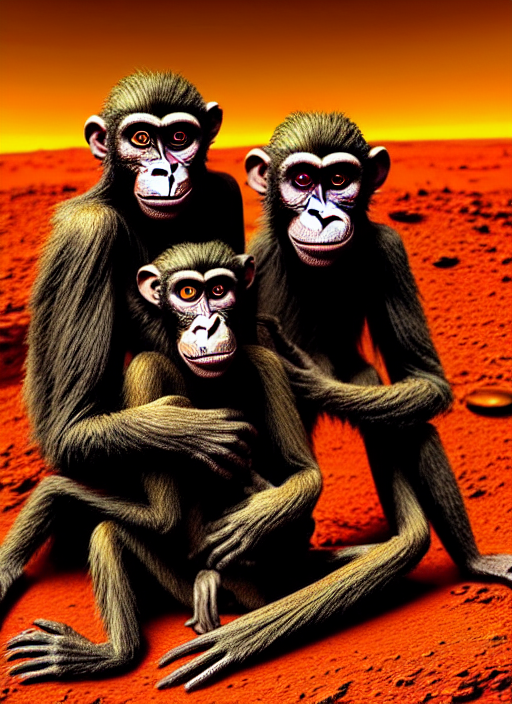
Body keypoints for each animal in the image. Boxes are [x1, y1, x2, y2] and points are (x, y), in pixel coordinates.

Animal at [2, 240, 323, 681]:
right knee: (122, 528)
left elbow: (305, 473)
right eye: (187, 293)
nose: (208, 325)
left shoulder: (266, 362)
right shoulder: (151, 370)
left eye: (220, 290)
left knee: (117, 529)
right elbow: (159, 512)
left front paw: (252, 518)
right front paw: (191, 428)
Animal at [155, 111, 512, 691]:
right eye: (301, 179)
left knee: (405, 415)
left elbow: (426, 381)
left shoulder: (389, 249)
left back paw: (472, 559)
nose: (323, 213)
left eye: (340, 178)